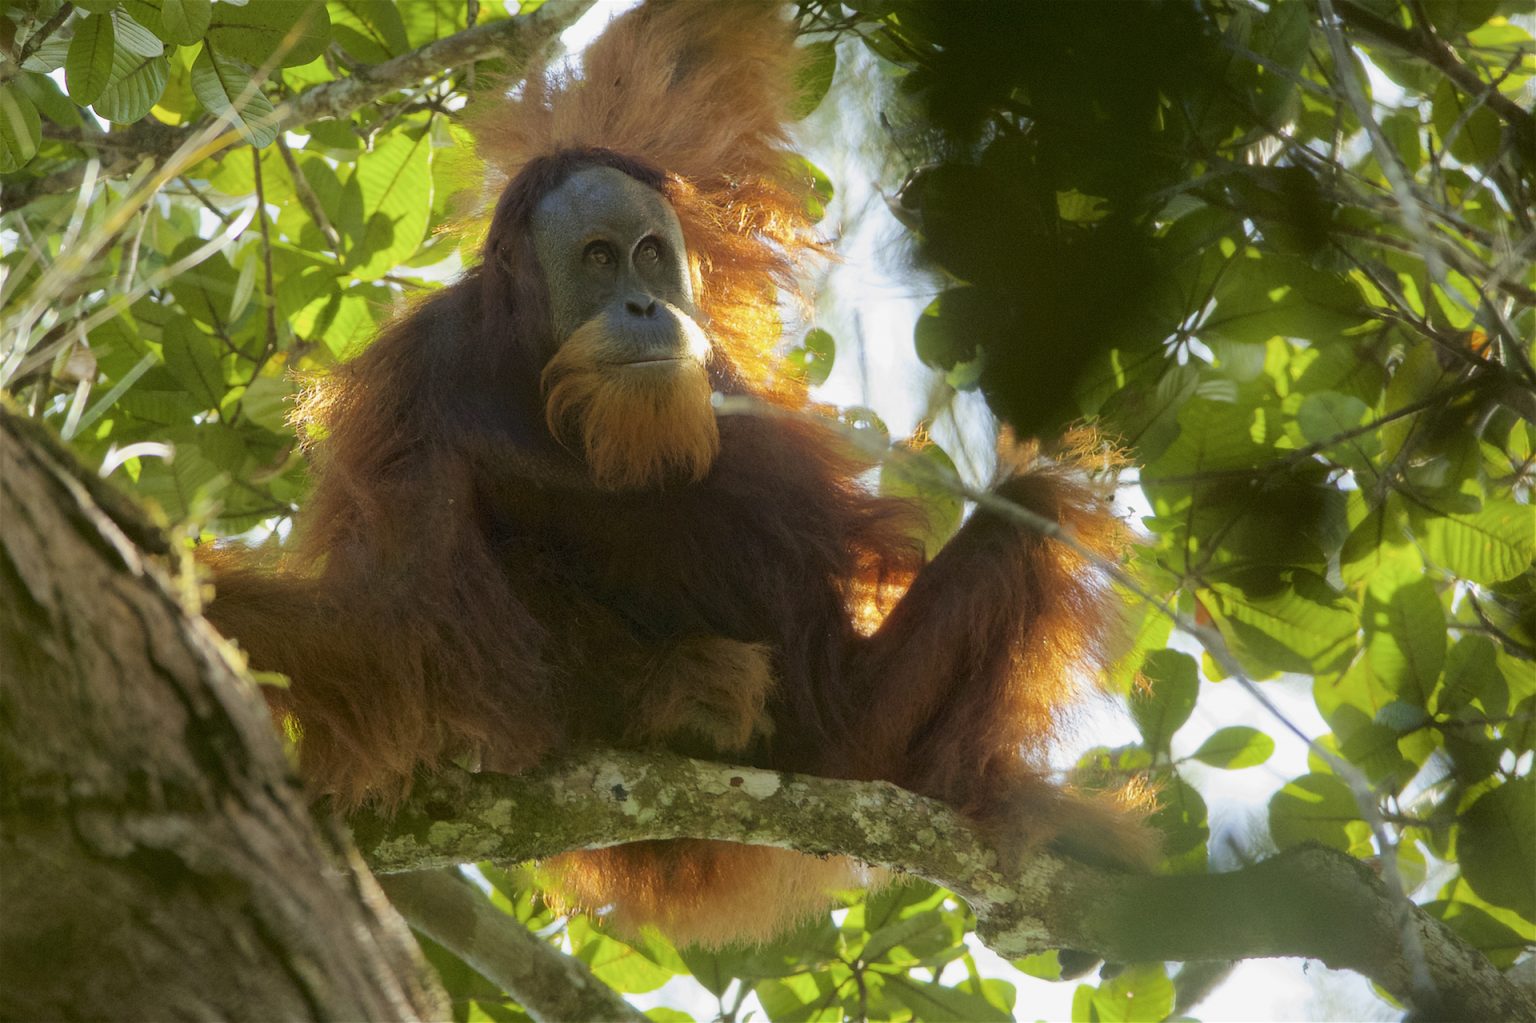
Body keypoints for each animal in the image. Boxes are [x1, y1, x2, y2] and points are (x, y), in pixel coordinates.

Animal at [203, 1, 1153, 948]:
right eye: (596, 258)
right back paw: (686, 705)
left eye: (651, 253)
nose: (646, 304)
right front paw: (210, 613)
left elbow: (675, 63)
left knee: (1028, 522)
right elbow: (391, 625)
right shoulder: (411, 395)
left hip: (859, 725)